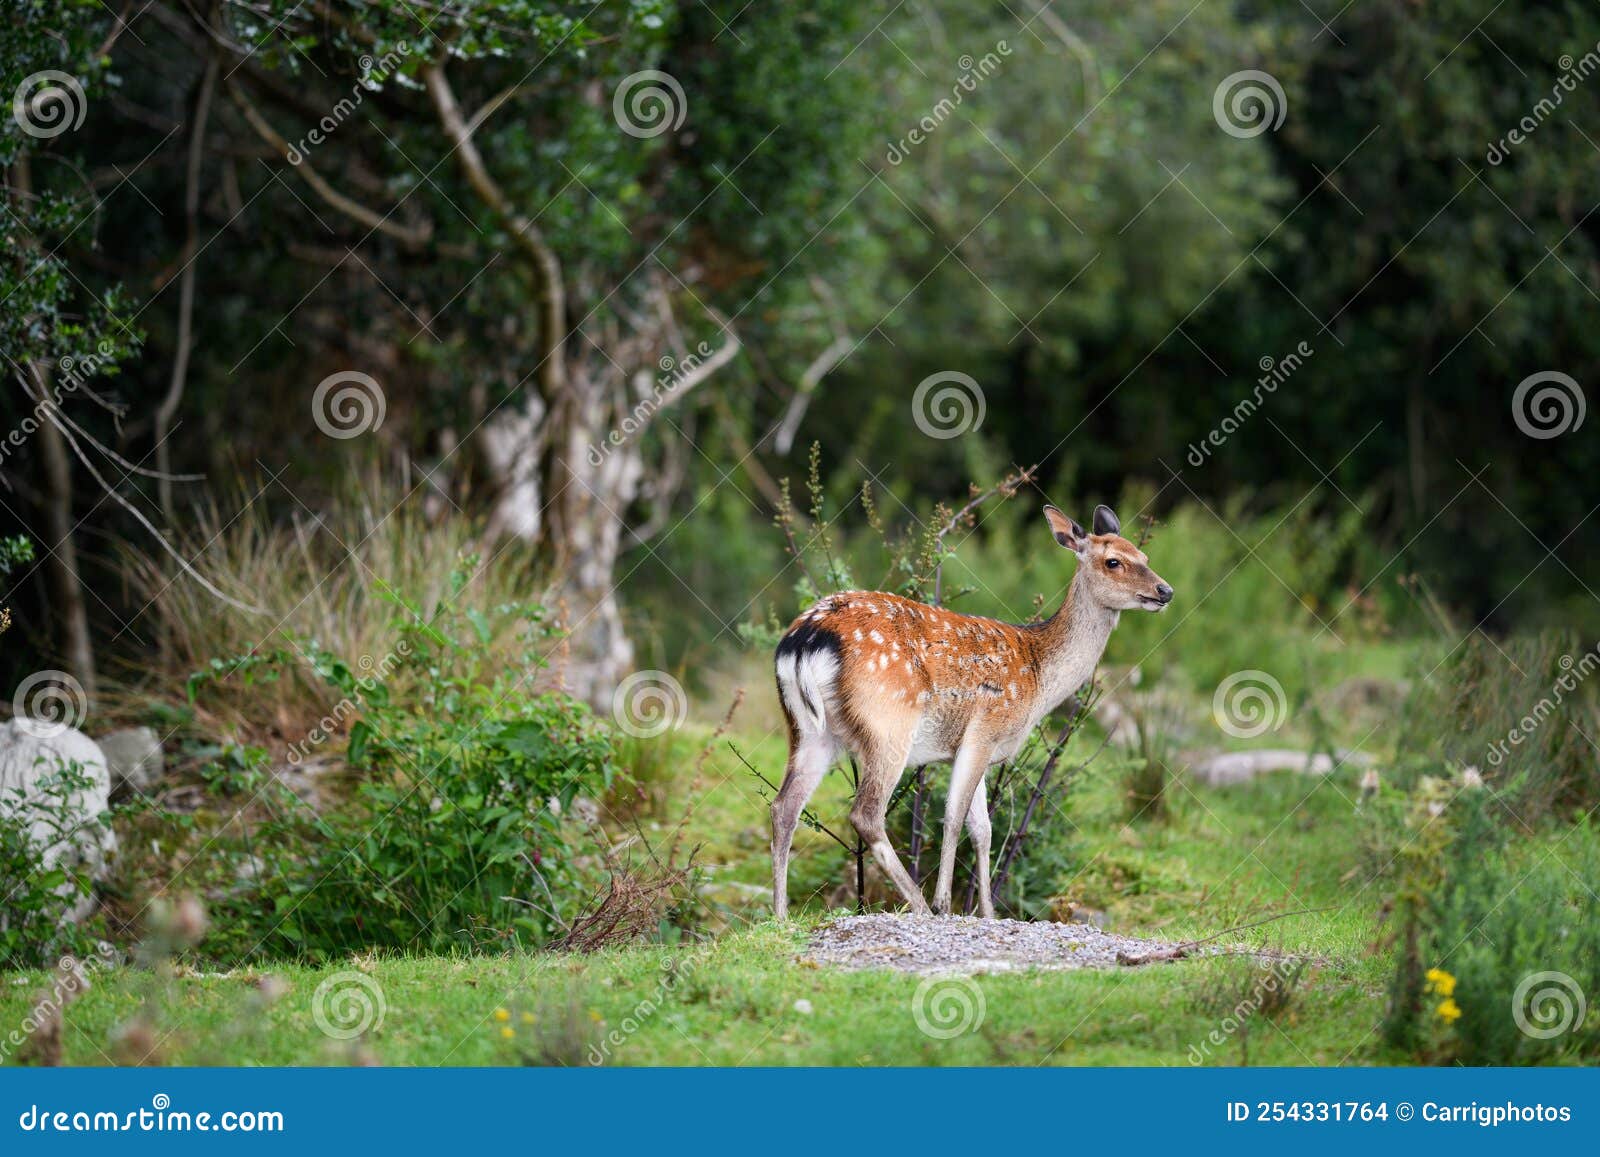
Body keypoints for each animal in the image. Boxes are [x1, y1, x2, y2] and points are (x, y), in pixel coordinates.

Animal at [770, 503, 1173, 920]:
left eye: (1144, 556)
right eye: (1114, 561)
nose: (1165, 591)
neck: (1038, 679)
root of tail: (804, 640)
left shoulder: (975, 749)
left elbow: (983, 830)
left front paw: (988, 912)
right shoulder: (984, 731)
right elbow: (953, 819)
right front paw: (946, 903)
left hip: (808, 729)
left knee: (784, 806)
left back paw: (780, 915)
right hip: (888, 724)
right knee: (865, 813)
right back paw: (919, 904)